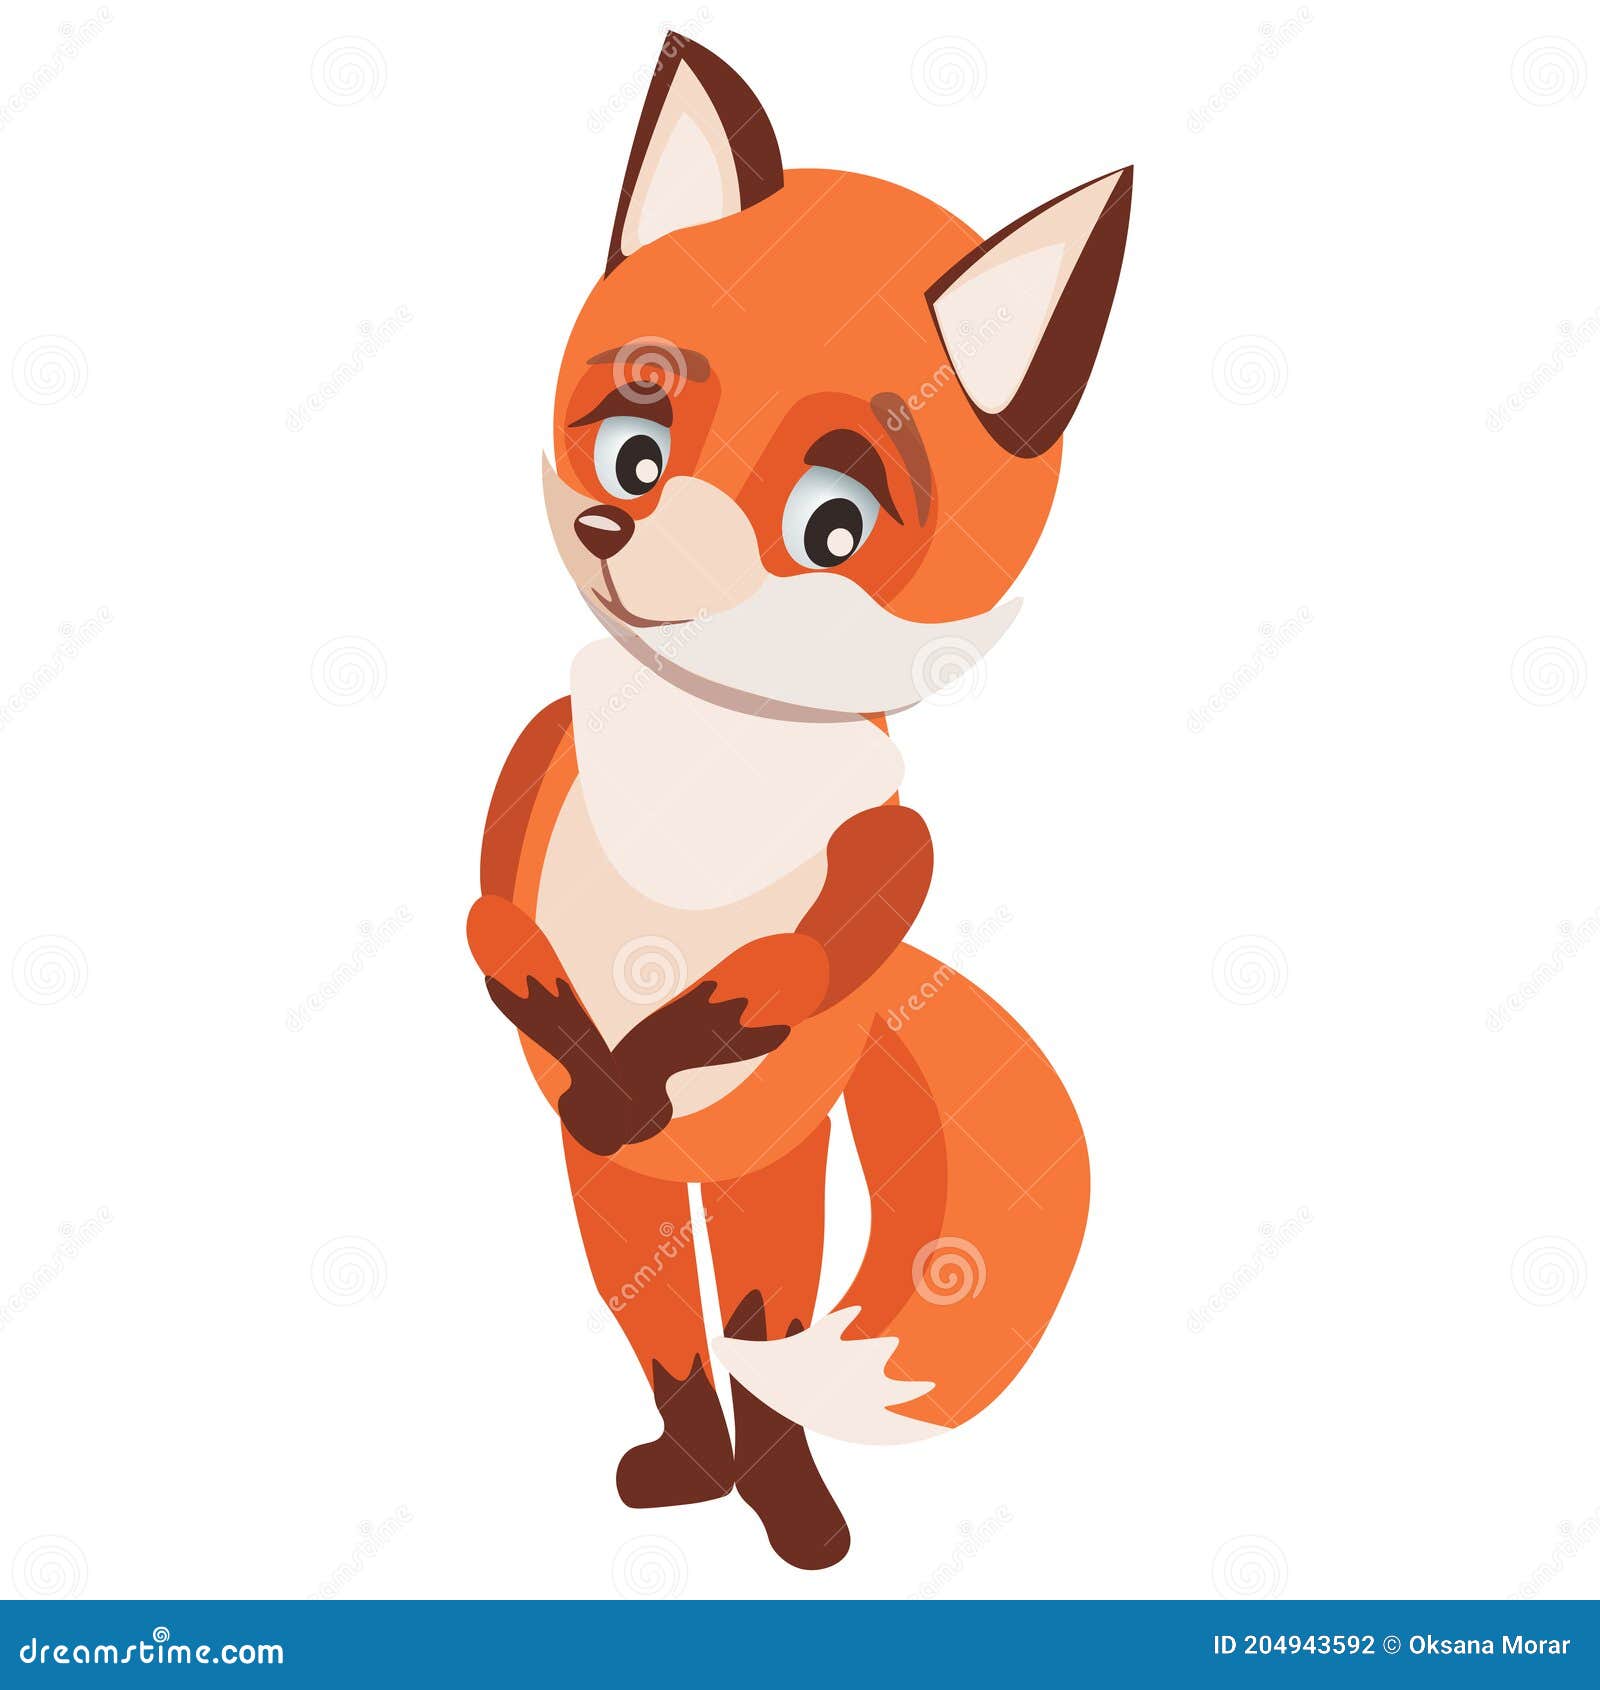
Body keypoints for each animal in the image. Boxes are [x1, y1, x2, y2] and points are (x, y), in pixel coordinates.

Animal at [467, 33, 1131, 1570]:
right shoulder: (527, 776)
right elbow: (490, 923)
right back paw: (687, 1463)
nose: (616, 529)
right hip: (622, 1201)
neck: (707, 762)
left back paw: (781, 1497)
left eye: (836, 522)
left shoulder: (880, 858)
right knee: (660, 1311)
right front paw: (600, 1064)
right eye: (635, 447)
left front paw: (649, 1059)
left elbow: (810, 951)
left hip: (776, 1170)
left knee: (761, 1316)